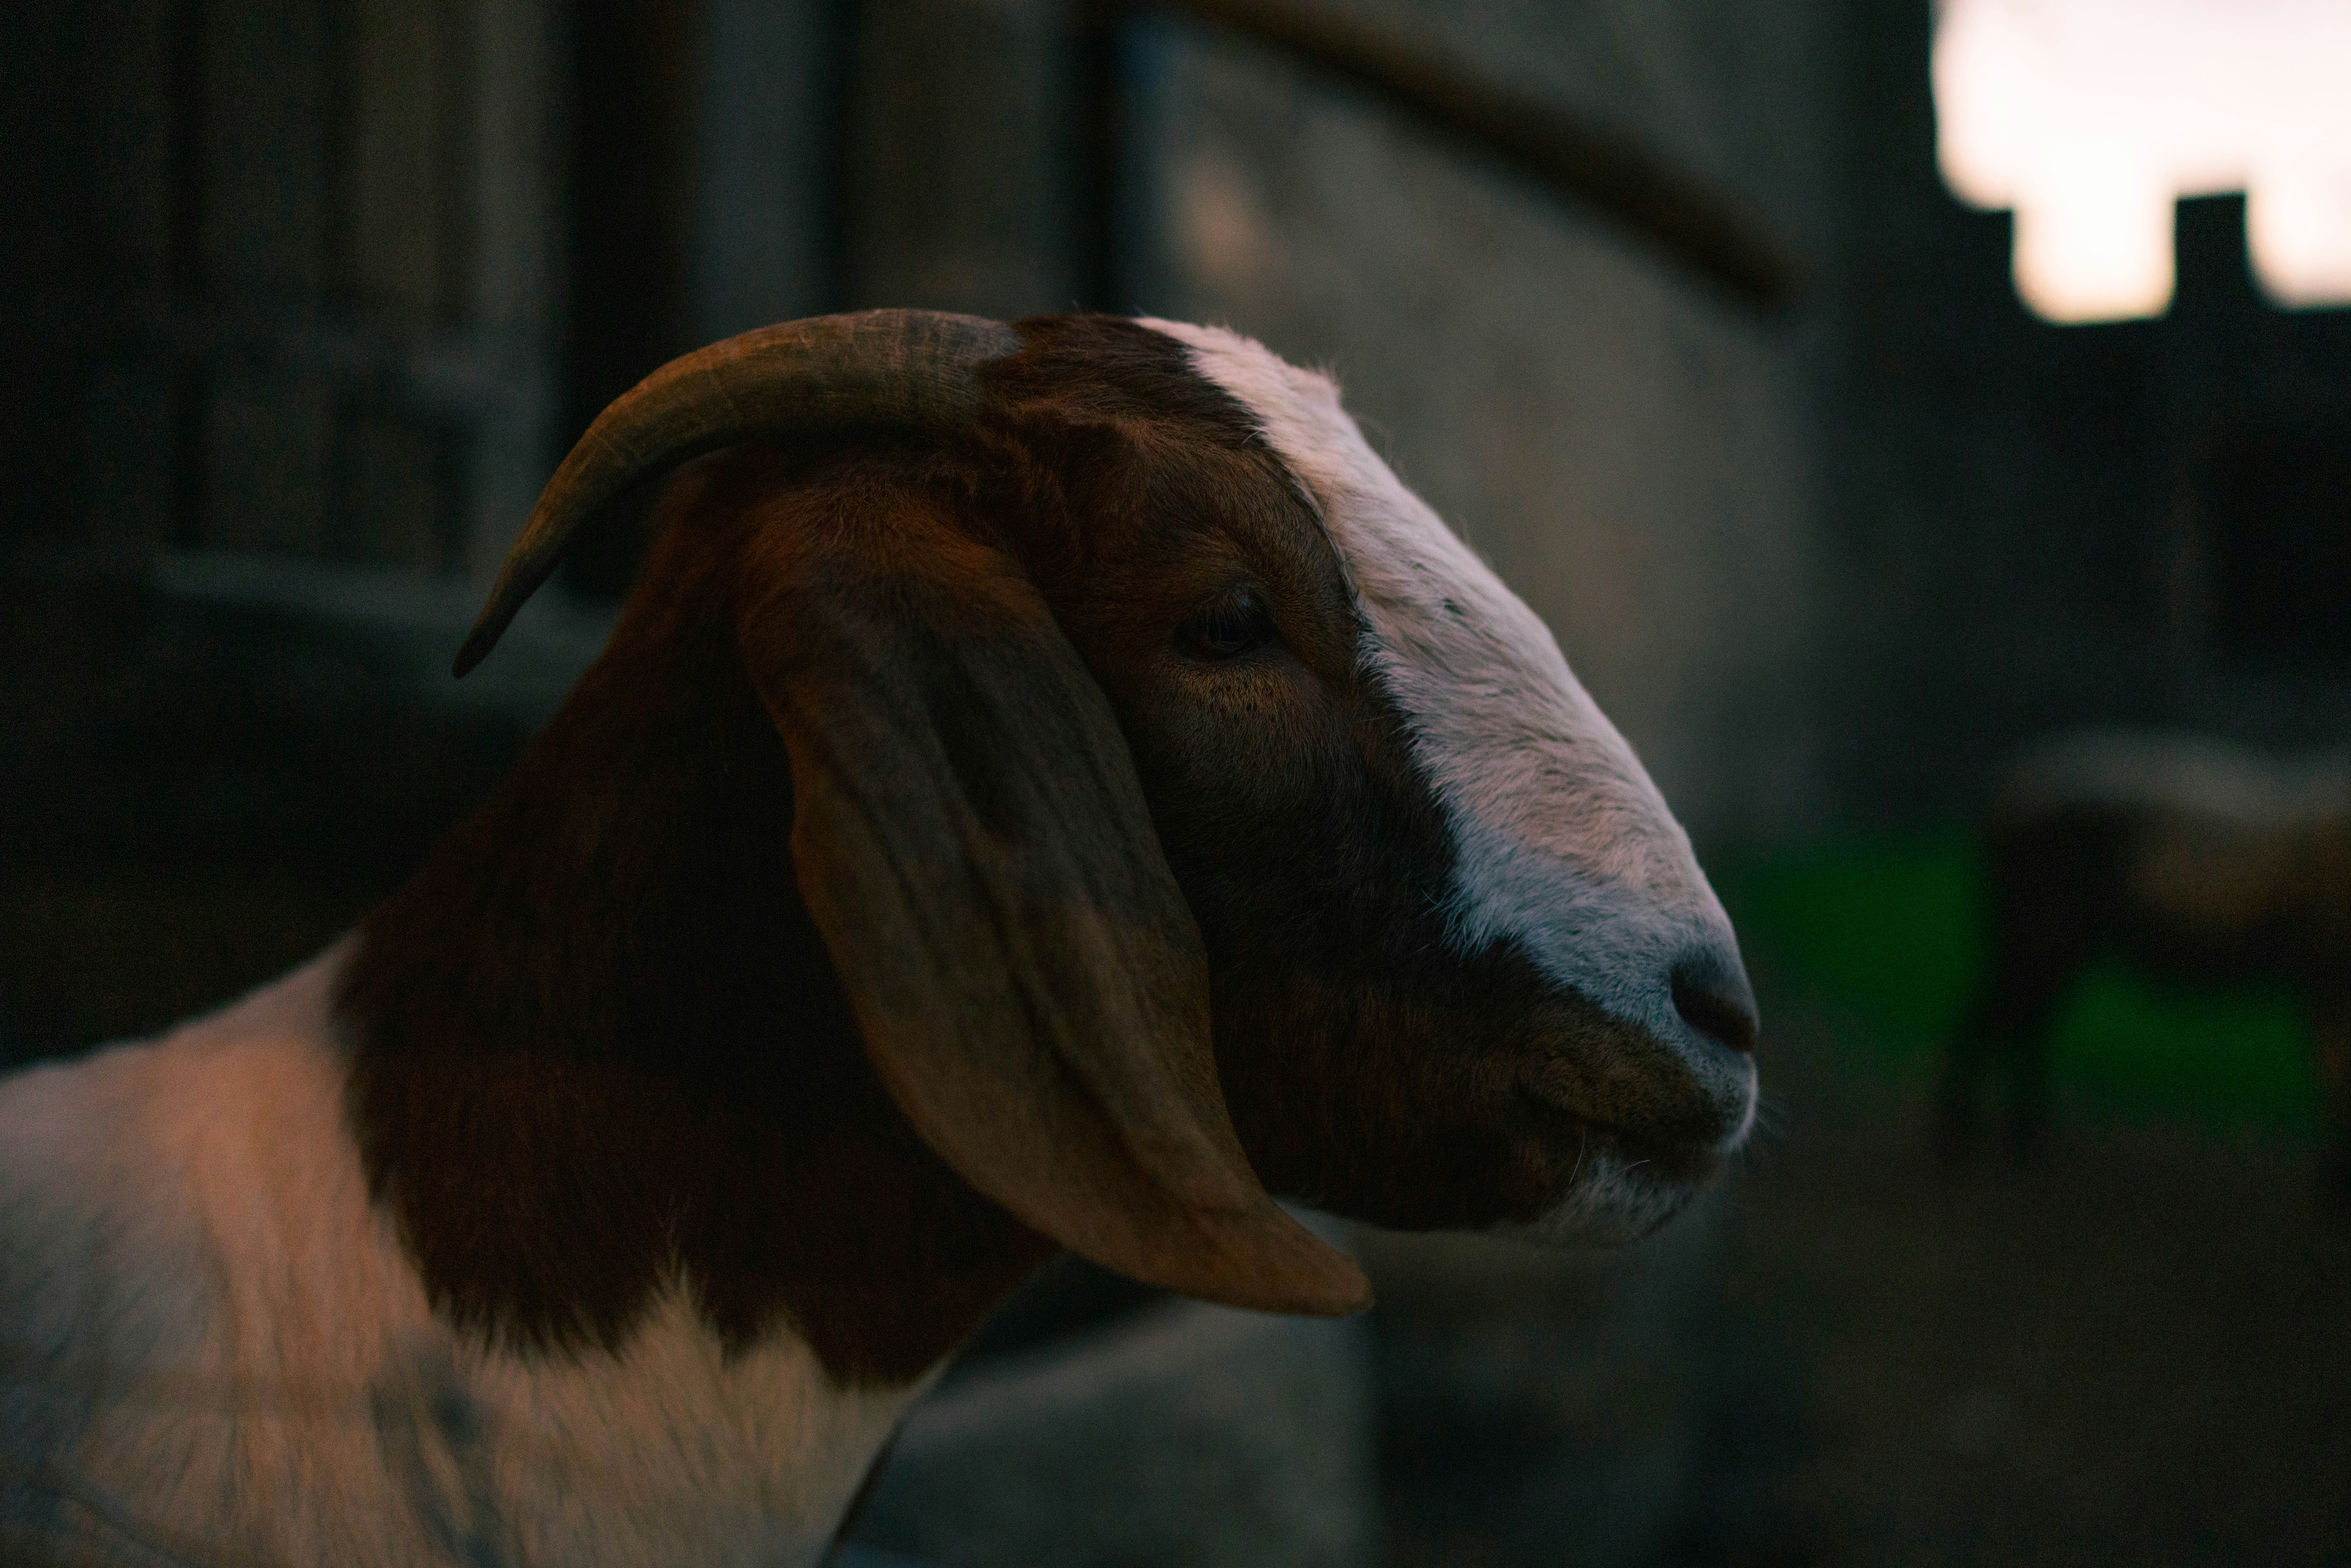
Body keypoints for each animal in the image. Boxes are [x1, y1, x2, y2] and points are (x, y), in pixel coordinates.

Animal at [1936, 728, 2351, 1180]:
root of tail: (2004, 797)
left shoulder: (2324, 981)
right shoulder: (2327, 975)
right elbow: (2333, 1073)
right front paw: (2332, 1173)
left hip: (2053, 948)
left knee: (2025, 1029)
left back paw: (2025, 1140)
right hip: (2035, 940)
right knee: (1984, 1024)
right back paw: (1960, 1141)